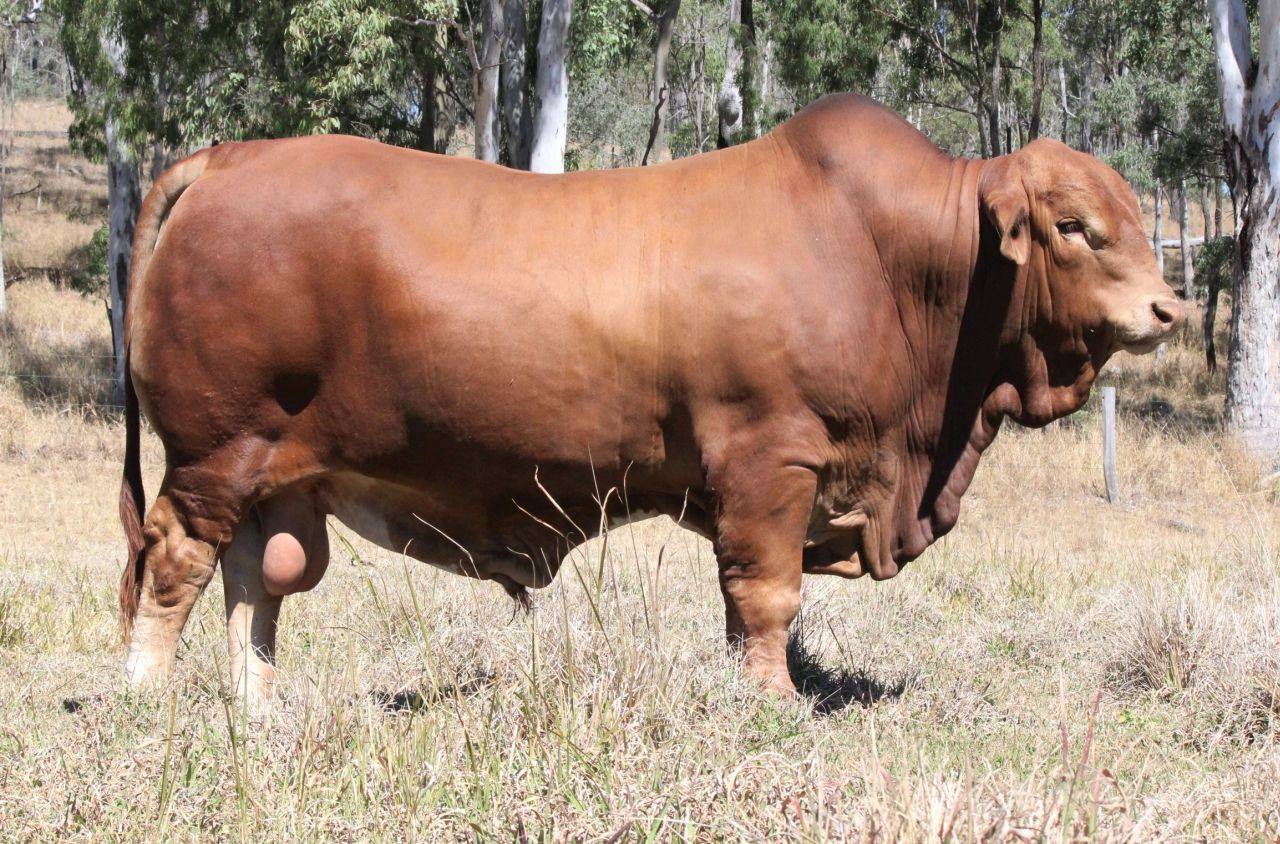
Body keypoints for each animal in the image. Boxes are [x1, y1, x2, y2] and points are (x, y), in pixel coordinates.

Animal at [118, 94, 1183, 702]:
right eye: (1075, 226)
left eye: (1138, 214)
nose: (1169, 307)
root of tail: (231, 158)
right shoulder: (772, 458)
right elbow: (767, 591)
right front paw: (773, 704)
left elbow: (745, 605)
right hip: (215, 455)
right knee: (174, 562)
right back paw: (148, 698)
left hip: (272, 477)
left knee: (257, 581)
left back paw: (261, 708)